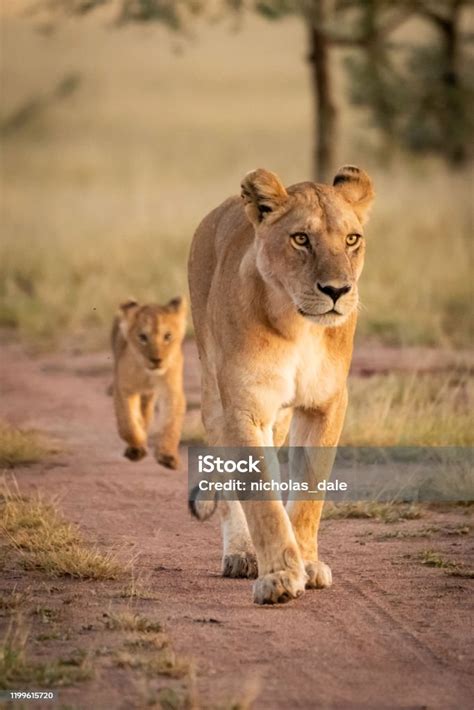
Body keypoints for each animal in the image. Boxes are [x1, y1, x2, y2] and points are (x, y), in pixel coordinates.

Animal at [111, 297, 187, 469]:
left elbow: (171, 424)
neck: (149, 375)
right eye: (142, 337)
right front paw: (138, 443)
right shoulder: (124, 389)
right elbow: (127, 425)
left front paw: (167, 456)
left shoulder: (172, 392)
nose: (157, 360)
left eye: (167, 336)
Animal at [188, 166, 374, 604]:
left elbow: (308, 494)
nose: (337, 290)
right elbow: (262, 498)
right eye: (301, 238)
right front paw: (279, 577)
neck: (298, 325)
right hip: (214, 397)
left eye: (352, 239)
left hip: (280, 416)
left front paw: (306, 564)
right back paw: (241, 553)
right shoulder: (244, 407)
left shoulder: (326, 404)